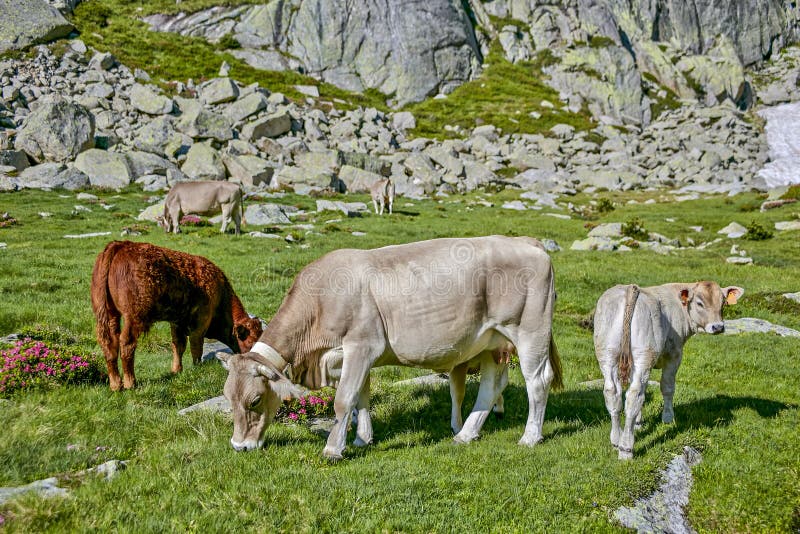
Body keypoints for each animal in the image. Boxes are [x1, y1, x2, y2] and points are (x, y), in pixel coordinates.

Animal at [91, 240, 263, 391]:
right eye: (251, 341)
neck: (220, 291)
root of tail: (120, 244)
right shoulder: (201, 322)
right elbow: (196, 346)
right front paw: (197, 367)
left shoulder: (177, 322)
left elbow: (178, 345)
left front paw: (176, 370)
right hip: (133, 317)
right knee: (126, 343)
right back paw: (130, 383)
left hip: (109, 314)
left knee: (109, 343)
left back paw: (115, 385)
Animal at [216, 235, 562, 459]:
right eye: (228, 398)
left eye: (254, 400)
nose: (239, 446)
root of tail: (527, 242)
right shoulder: (350, 356)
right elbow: (361, 398)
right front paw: (362, 440)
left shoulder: (362, 345)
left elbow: (343, 401)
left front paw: (333, 449)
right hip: (490, 342)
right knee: (492, 385)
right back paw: (465, 434)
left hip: (529, 331)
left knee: (537, 380)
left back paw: (530, 437)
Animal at [593, 281, 743, 459]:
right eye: (699, 303)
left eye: (723, 303)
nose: (718, 327)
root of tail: (629, 288)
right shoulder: (674, 354)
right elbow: (667, 387)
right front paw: (668, 418)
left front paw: (638, 423)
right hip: (644, 353)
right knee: (633, 396)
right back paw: (626, 449)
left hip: (607, 353)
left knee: (613, 392)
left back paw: (616, 440)